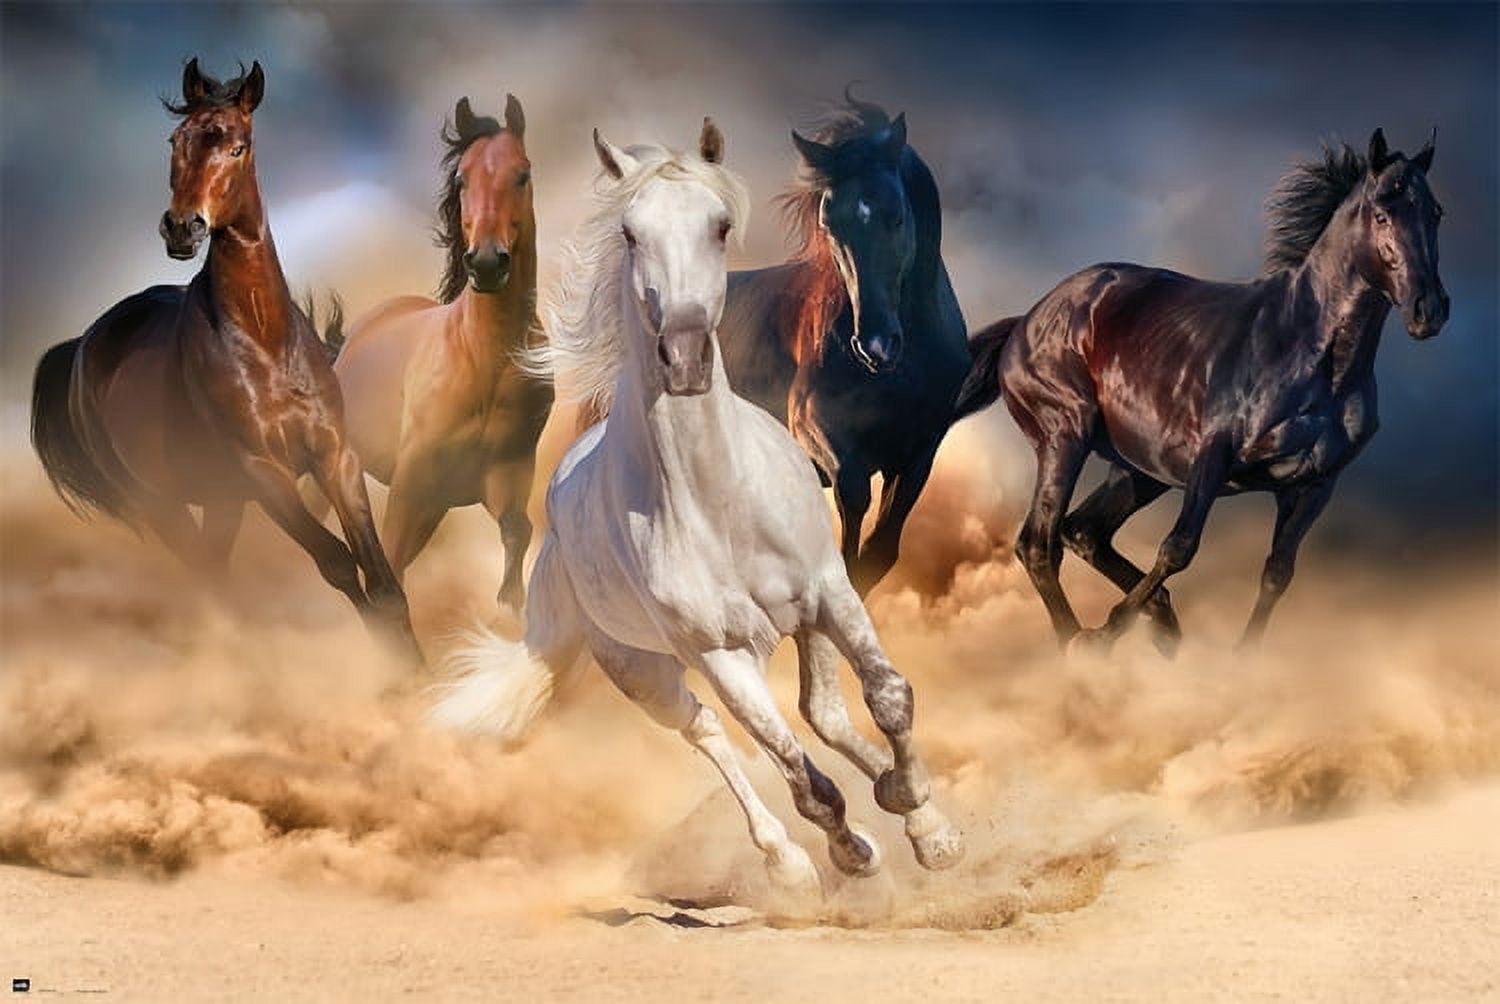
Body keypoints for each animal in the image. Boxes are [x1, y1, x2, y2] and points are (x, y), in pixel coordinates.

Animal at [29, 59, 416, 655]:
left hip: (220, 500)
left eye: (238, 146)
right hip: (160, 503)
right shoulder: (262, 472)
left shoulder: (335, 457)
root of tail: (81, 347)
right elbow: (337, 564)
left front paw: (420, 669)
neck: (265, 341)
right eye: (176, 140)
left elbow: (381, 577)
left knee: (213, 568)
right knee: (207, 576)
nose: (181, 227)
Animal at [328, 95, 551, 616]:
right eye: (462, 179)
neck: (484, 359)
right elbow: (388, 567)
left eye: (522, 174)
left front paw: (510, 611)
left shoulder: (505, 474)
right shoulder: (412, 481)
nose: (487, 262)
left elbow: (518, 532)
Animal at [711, 94, 968, 596]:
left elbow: (879, 552)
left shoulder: (918, 453)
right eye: (830, 226)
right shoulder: (819, 433)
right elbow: (850, 522)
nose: (876, 345)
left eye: (897, 216)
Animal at [951, 129, 1447, 652]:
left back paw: (1161, 622)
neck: (1314, 357)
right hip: (1065, 436)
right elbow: (1178, 548)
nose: (1429, 309)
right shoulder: (1214, 456)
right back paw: (1080, 643)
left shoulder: (1315, 484)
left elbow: (1277, 573)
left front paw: (1238, 659)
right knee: (1038, 543)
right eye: (1382, 213)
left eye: (1435, 212)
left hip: (1139, 469)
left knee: (1083, 532)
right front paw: (1108, 632)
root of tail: (1026, 320)